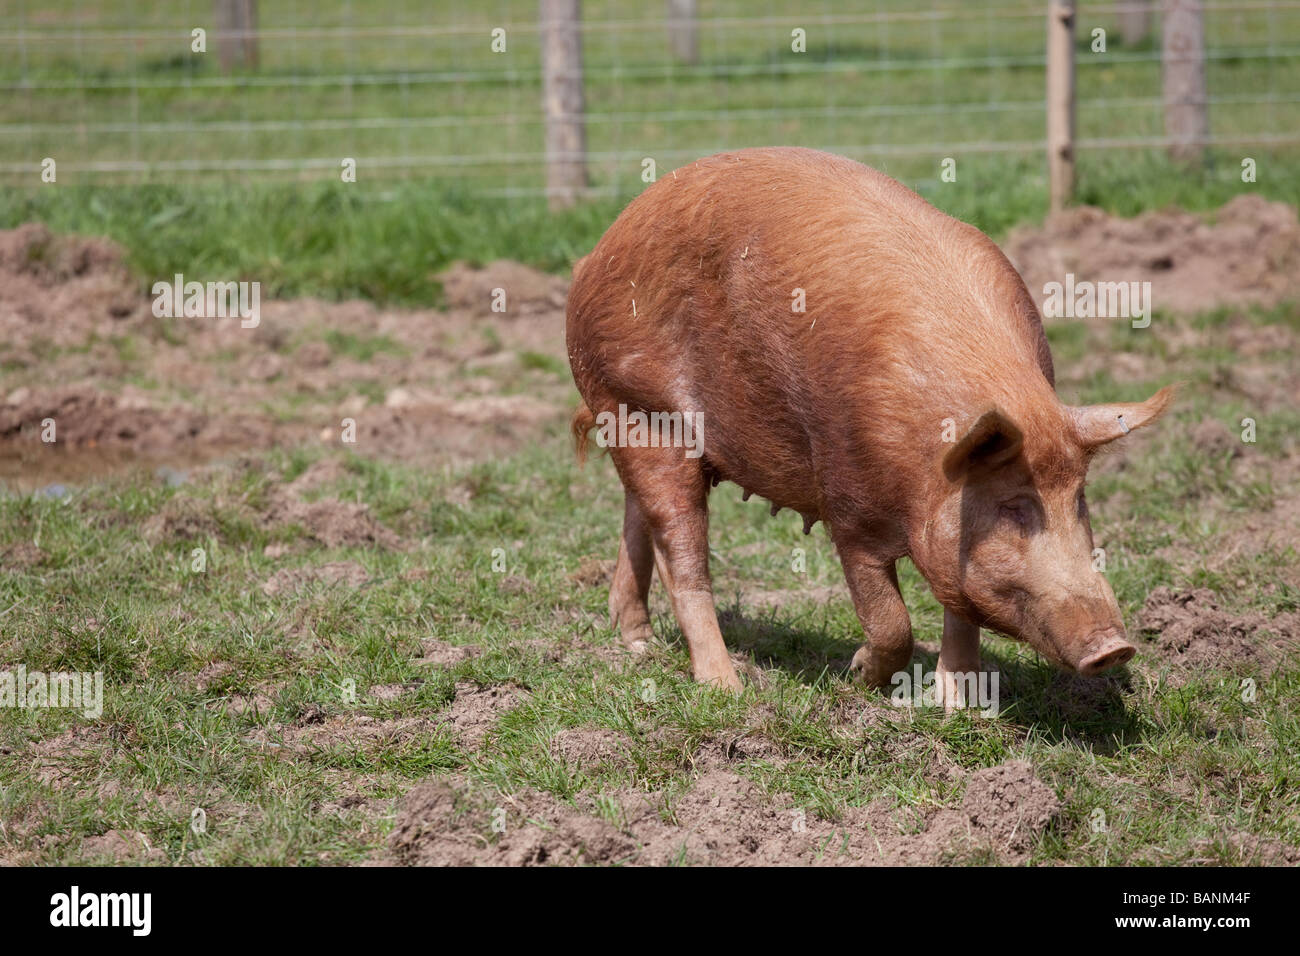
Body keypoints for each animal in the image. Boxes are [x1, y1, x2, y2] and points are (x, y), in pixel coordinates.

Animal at [565, 147, 1173, 709]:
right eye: (1013, 506)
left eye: (1080, 500)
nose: (1115, 647)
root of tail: (596, 251)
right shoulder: (847, 502)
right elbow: (890, 619)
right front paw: (856, 676)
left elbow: (959, 607)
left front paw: (957, 707)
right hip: (636, 408)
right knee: (682, 552)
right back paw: (728, 689)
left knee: (639, 516)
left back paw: (637, 642)